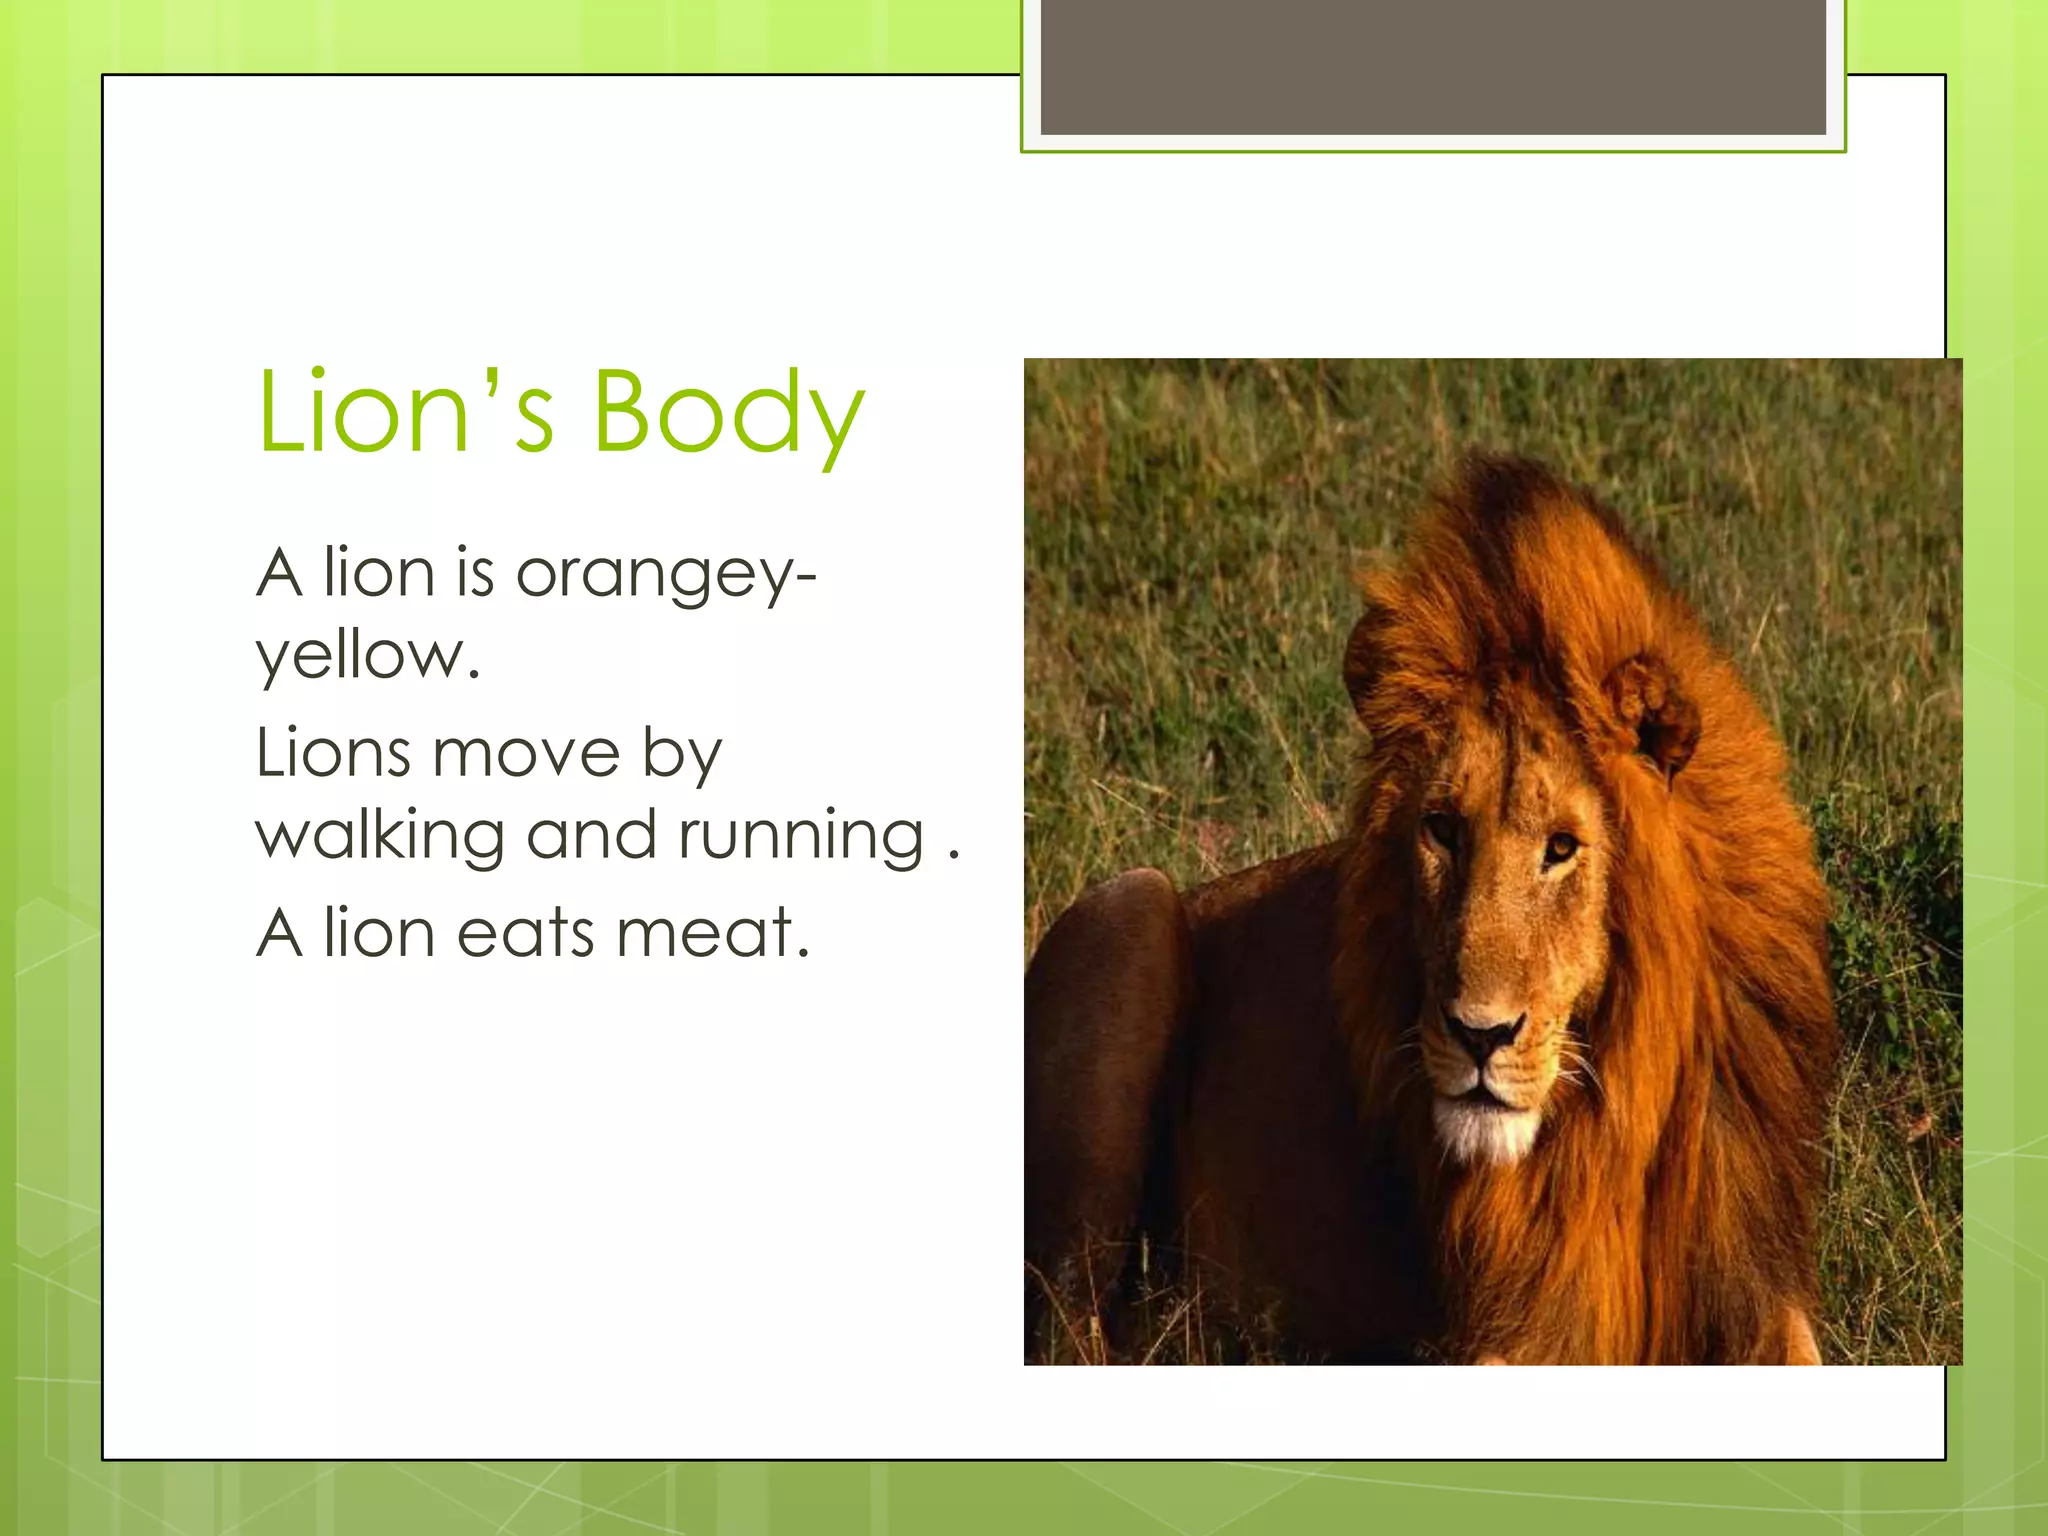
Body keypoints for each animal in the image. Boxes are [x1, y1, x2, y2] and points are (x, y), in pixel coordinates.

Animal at [1025, 452, 1837, 1365]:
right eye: (1443, 829)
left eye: (1562, 847)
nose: (1479, 1036)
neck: (1617, 1106)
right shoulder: (1505, 1324)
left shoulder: (1751, 1280)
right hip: (1129, 903)